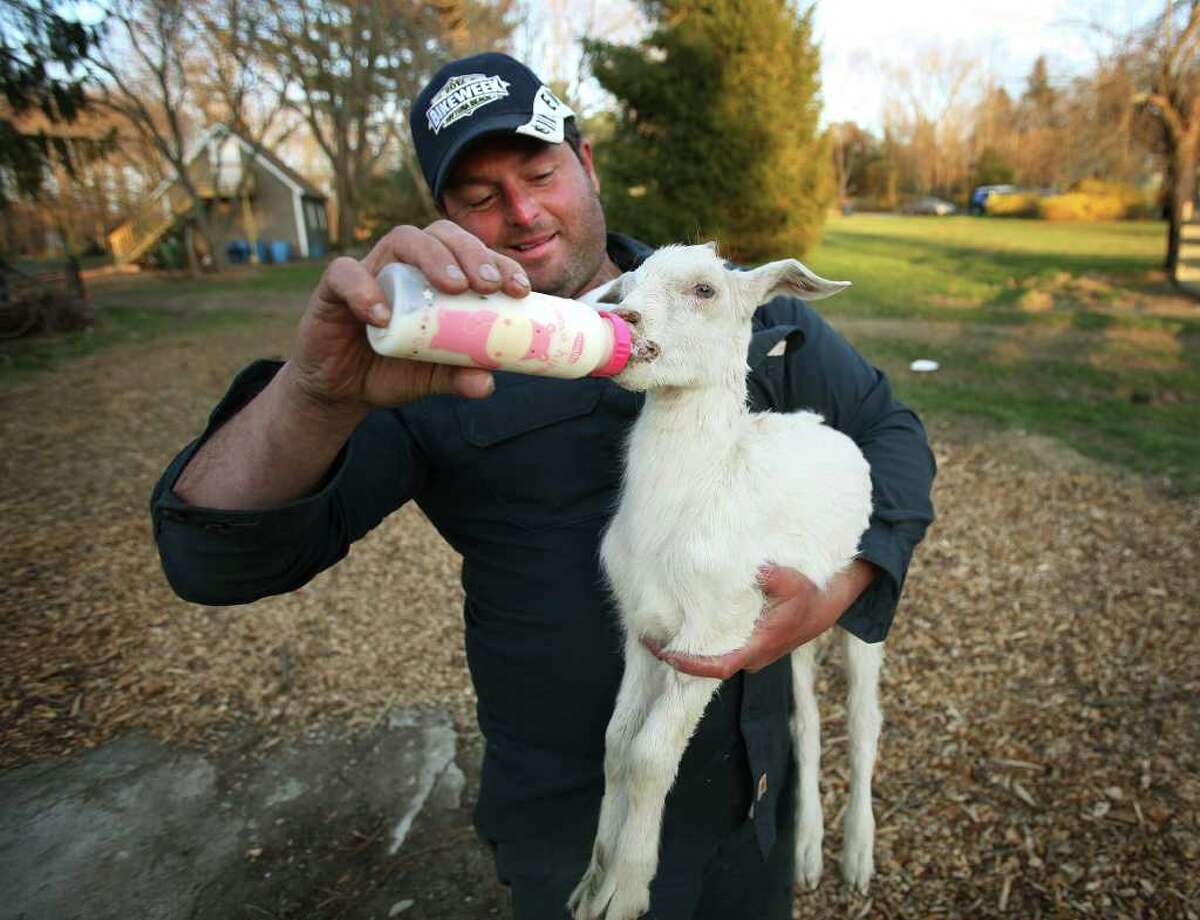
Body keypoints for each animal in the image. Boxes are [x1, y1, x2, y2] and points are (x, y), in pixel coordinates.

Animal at [569, 243, 883, 920]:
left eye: (706, 290)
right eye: (624, 288)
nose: (624, 319)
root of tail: (819, 420)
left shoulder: (714, 633)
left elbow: (649, 756)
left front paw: (627, 888)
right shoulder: (643, 629)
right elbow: (615, 743)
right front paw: (593, 881)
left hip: (856, 600)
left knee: (864, 718)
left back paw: (856, 857)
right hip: (798, 613)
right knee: (805, 719)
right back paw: (808, 853)